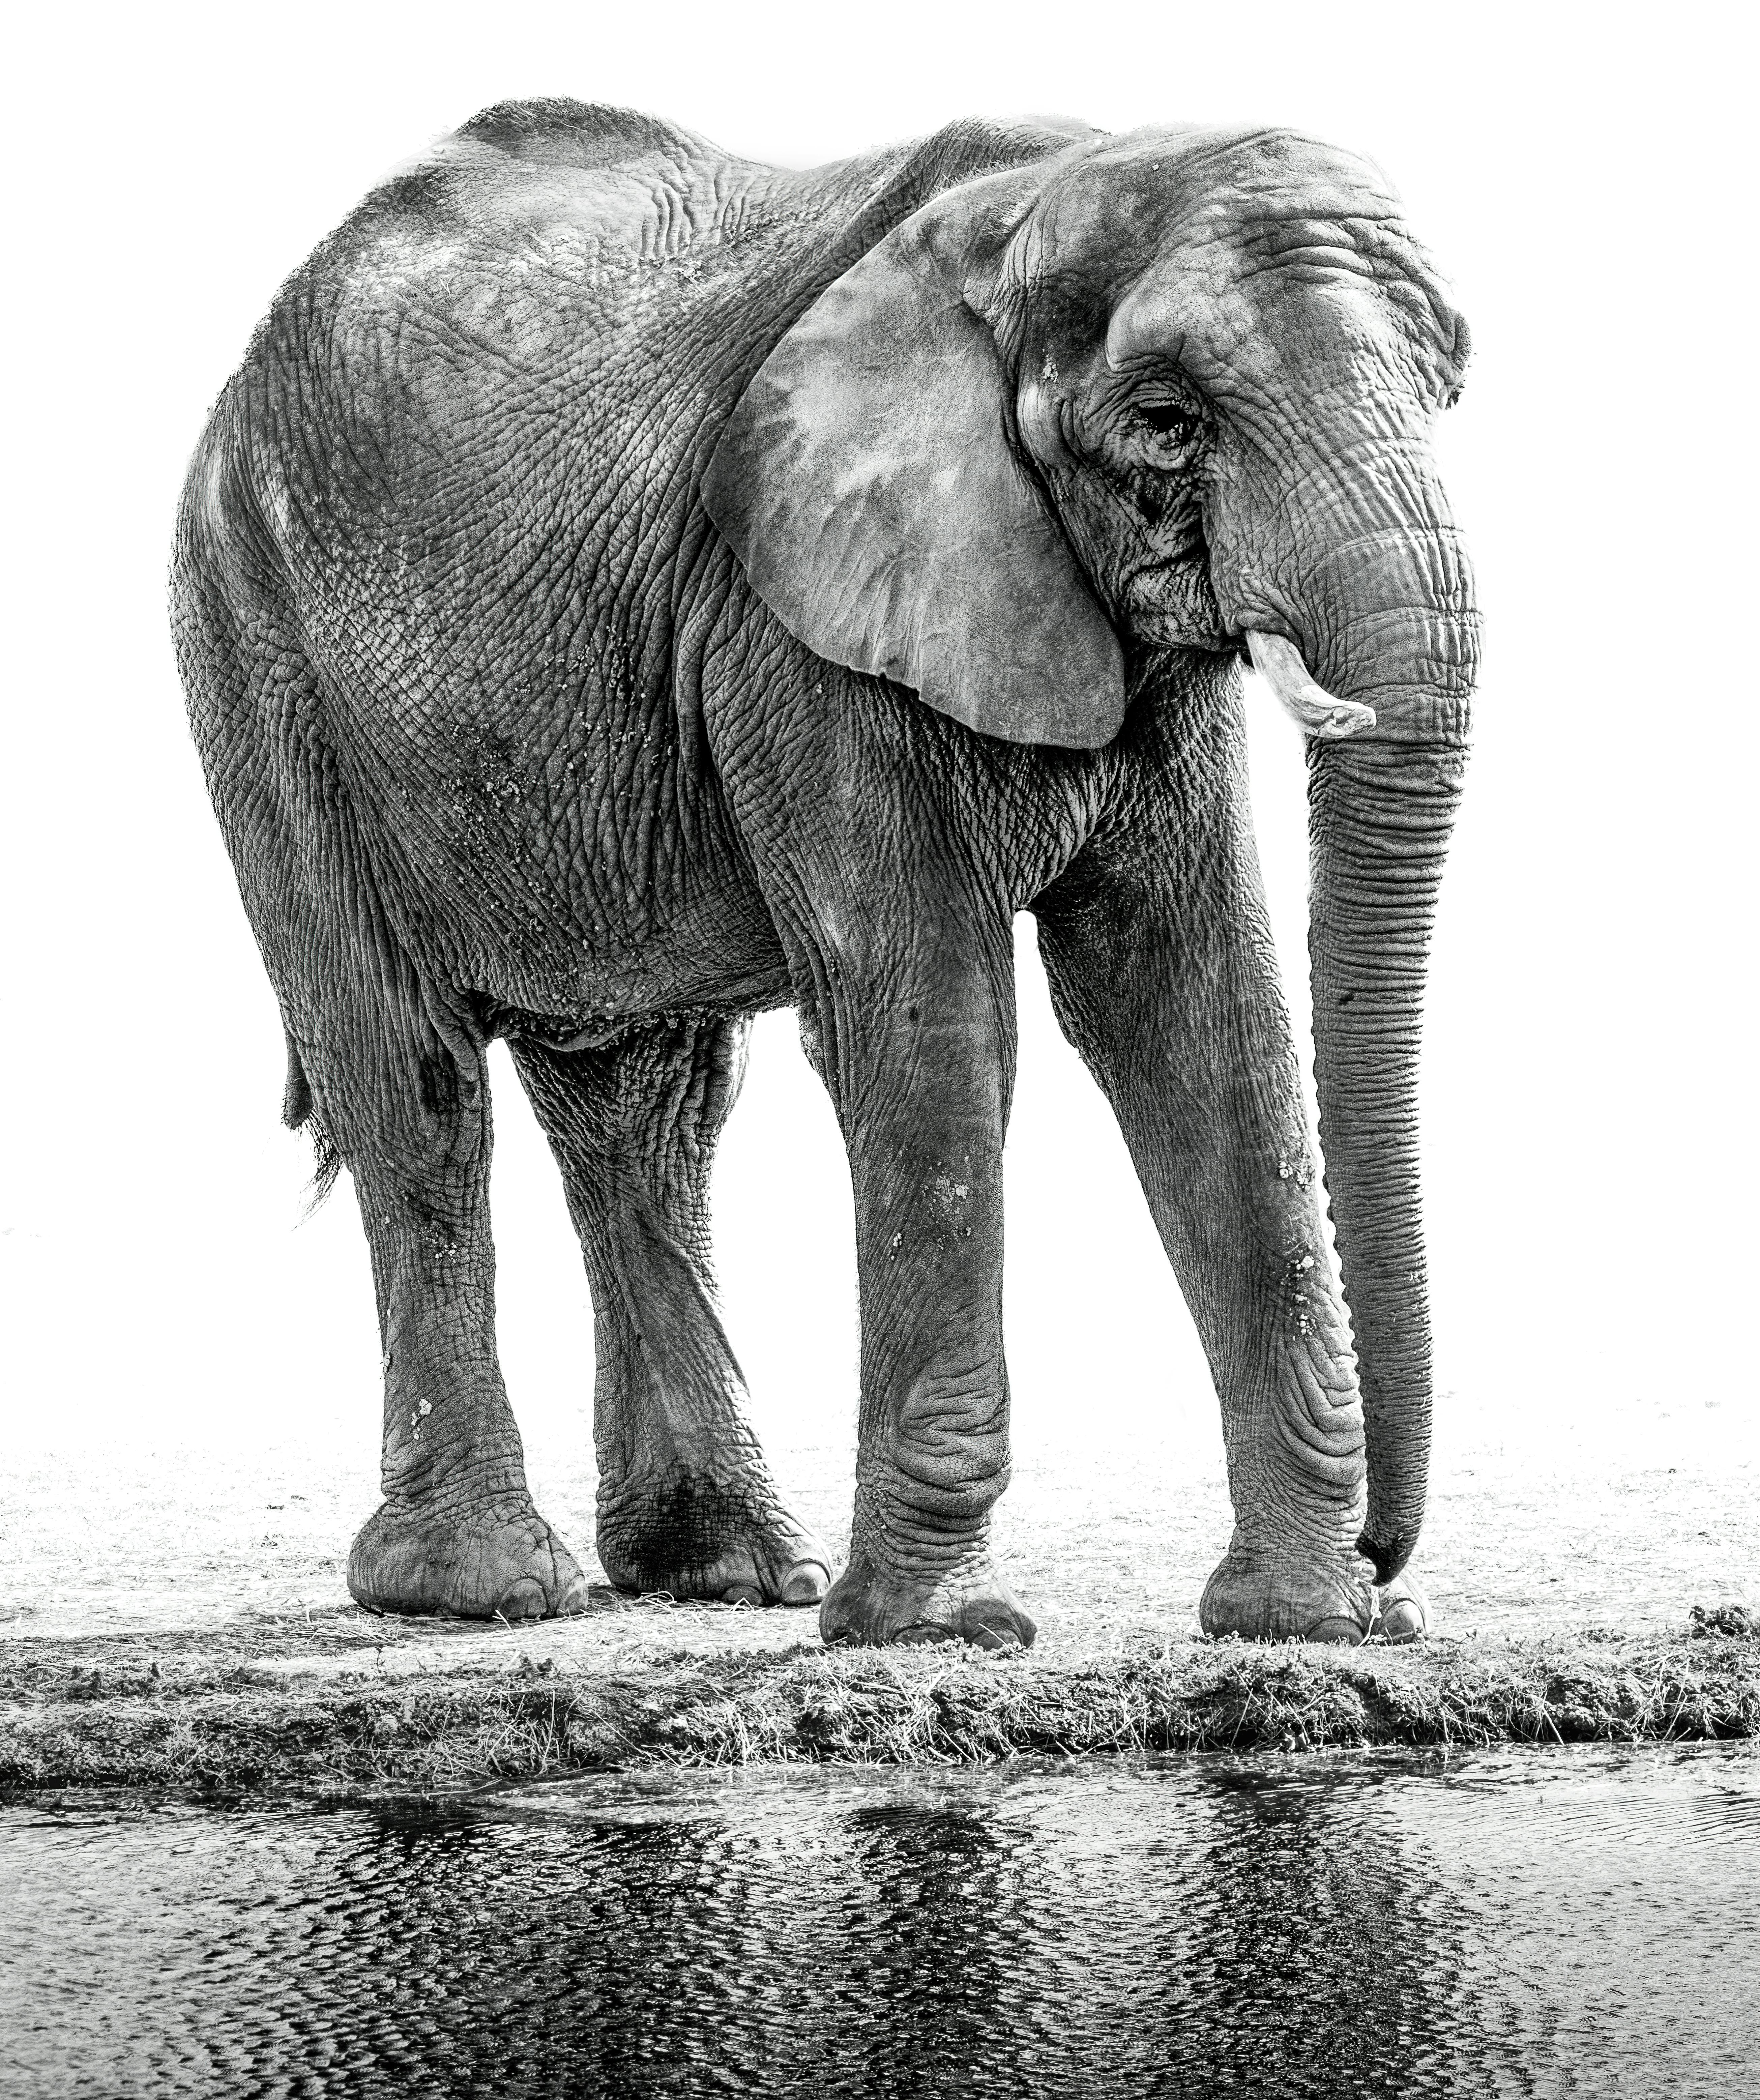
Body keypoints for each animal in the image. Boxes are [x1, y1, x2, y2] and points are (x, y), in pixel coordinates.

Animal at [171, 101, 1477, 1648]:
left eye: (1449, 384)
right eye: (1168, 422)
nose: (1394, 1564)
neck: (1049, 191)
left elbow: (1200, 1022)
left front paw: (1307, 1624)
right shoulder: (794, 618)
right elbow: (926, 1024)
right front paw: (937, 1633)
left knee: (647, 1114)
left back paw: (726, 1571)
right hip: (255, 645)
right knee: (410, 1081)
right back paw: (486, 1591)